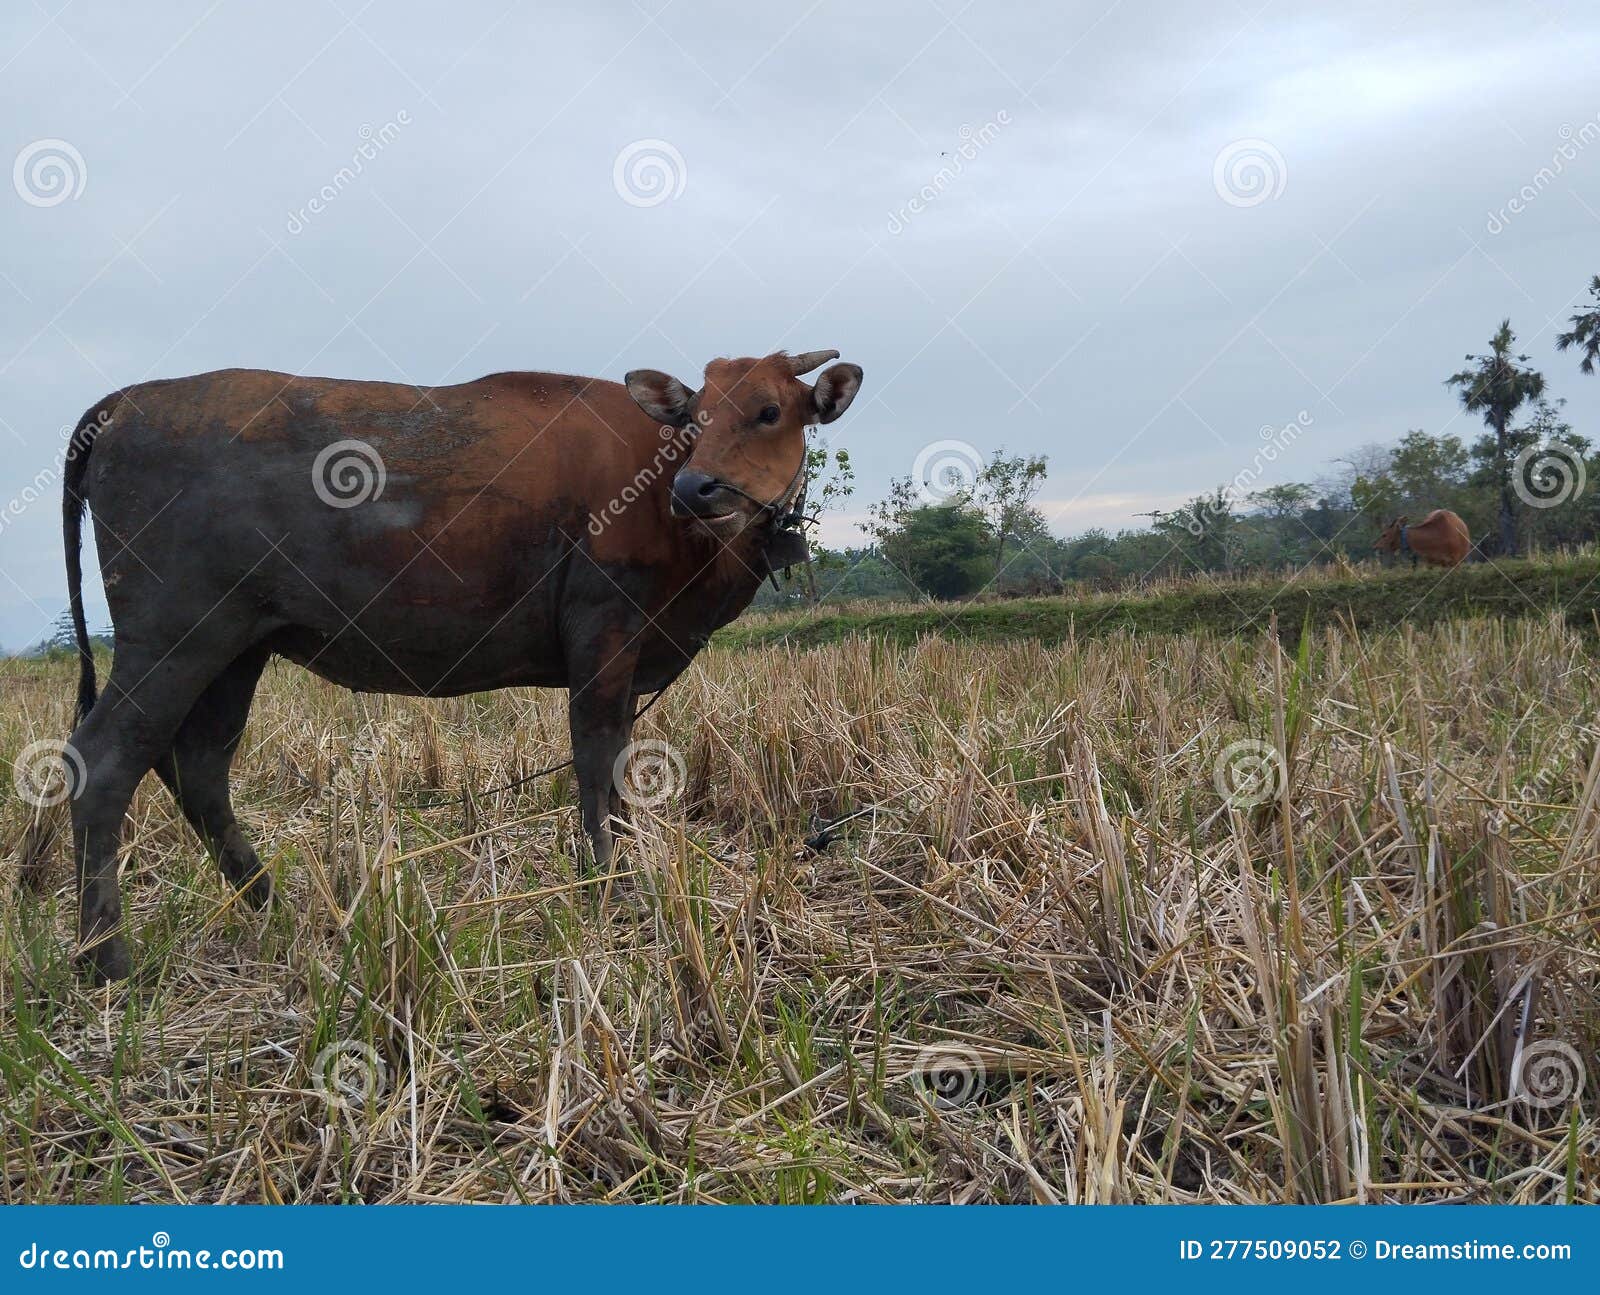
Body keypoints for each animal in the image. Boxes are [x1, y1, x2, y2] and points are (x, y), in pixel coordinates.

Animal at [54, 349, 863, 981]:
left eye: (768, 411)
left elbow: (618, 770)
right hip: (175, 644)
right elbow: (596, 762)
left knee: (198, 771)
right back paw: (109, 960)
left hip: (234, 653)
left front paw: (624, 871)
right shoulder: (603, 640)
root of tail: (128, 401)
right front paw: (607, 885)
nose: (699, 488)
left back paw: (276, 906)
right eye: (696, 417)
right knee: (104, 761)